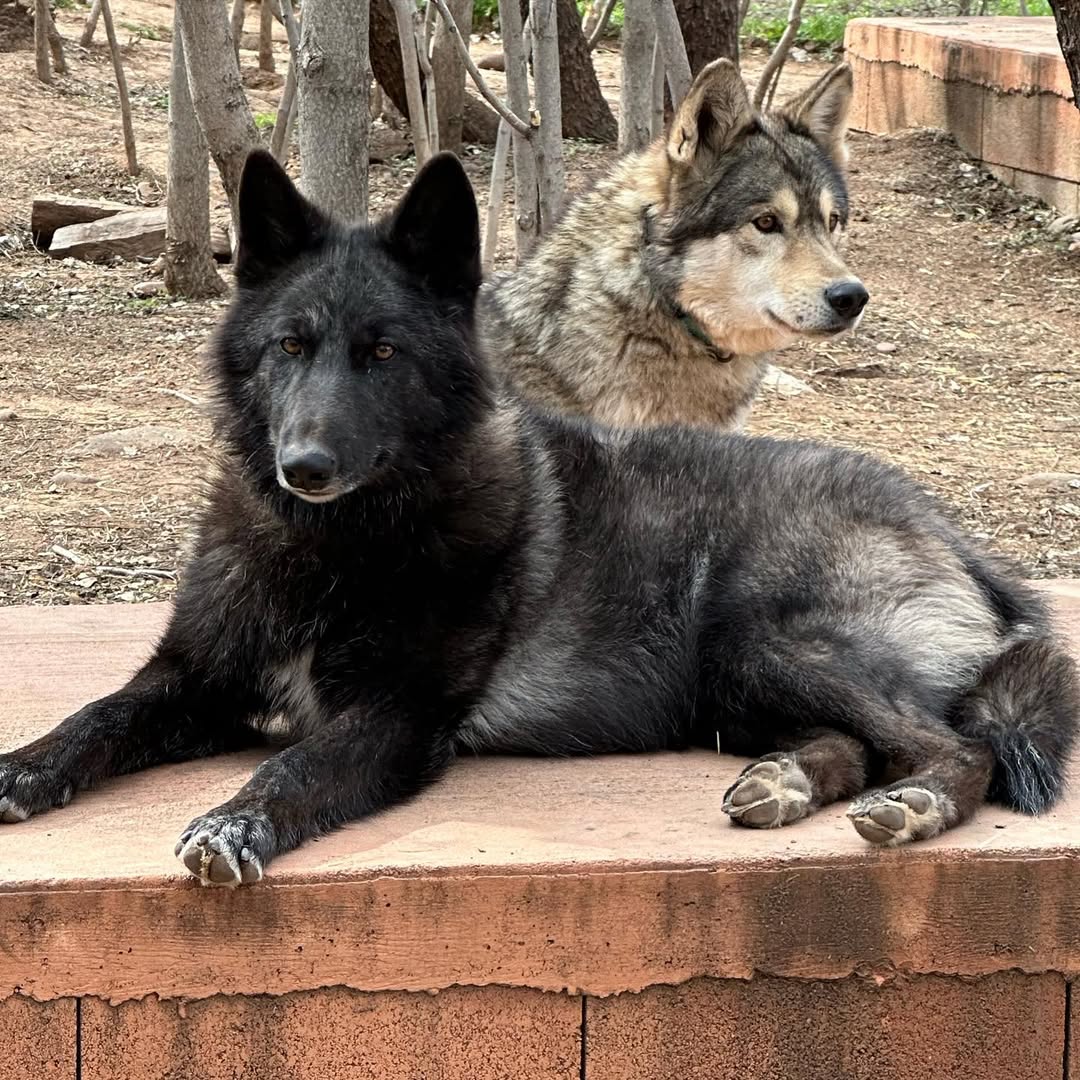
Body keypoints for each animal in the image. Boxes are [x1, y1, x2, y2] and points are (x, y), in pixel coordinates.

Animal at [0, 151, 1073, 887]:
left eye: (382, 353)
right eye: (289, 347)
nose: (302, 467)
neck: (335, 549)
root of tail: (964, 543)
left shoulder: (393, 718)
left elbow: (293, 768)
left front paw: (233, 822)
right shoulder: (189, 680)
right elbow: (93, 717)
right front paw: (20, 768)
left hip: (760, 638)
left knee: (953, 747)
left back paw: (916, 804)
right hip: (735, 682)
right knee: (858, 743)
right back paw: (790, 783)